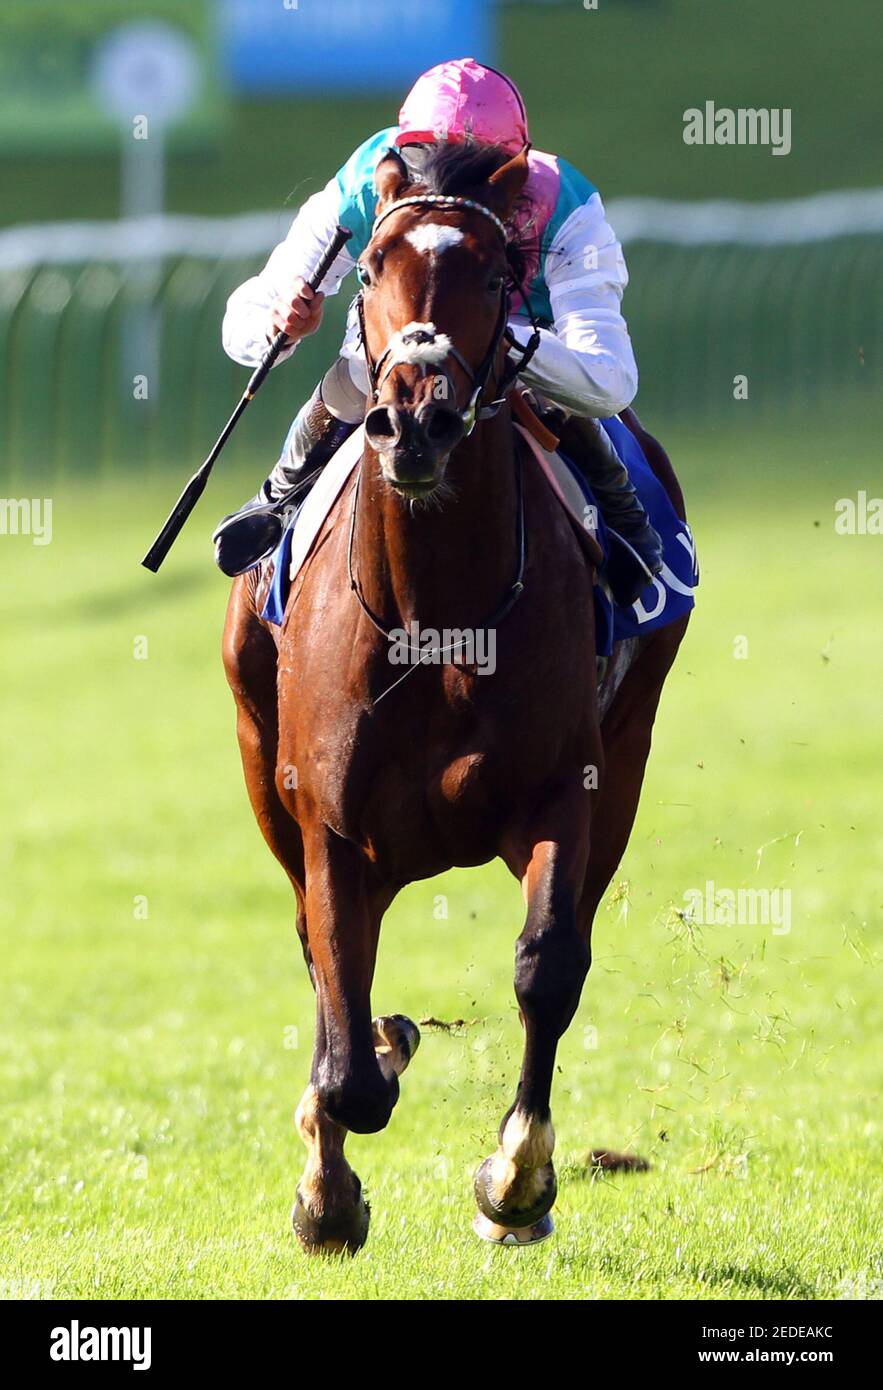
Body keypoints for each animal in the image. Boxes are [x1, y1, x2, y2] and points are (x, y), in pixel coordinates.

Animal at [222, 142, 689, 1253]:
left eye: (491, 274)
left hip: (626, 761)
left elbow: (546, 969)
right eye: (366, 266)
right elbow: (345, 1044)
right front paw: (329, 1188)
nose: (418, 420)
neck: (437, 618)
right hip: (265, 768)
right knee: (319, 956)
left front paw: (514, 1180)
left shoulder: (565, 790)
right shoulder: (329, 820)